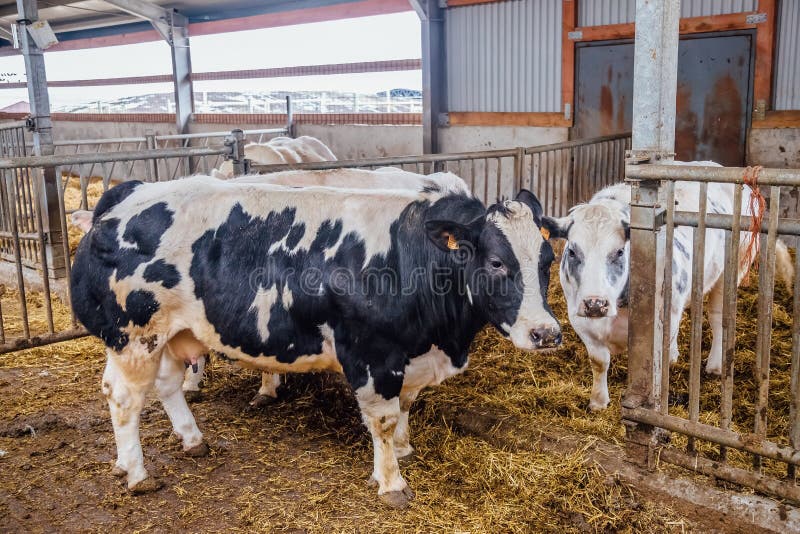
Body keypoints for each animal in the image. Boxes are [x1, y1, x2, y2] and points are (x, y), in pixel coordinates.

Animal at [541, 161, 793, 411]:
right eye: (572, 251)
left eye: (620, 251)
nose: (595, 303)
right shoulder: (580, 320)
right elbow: (599, 362)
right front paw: (598, 402)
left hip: (731, 272)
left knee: (718, 318)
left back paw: (714, 365)